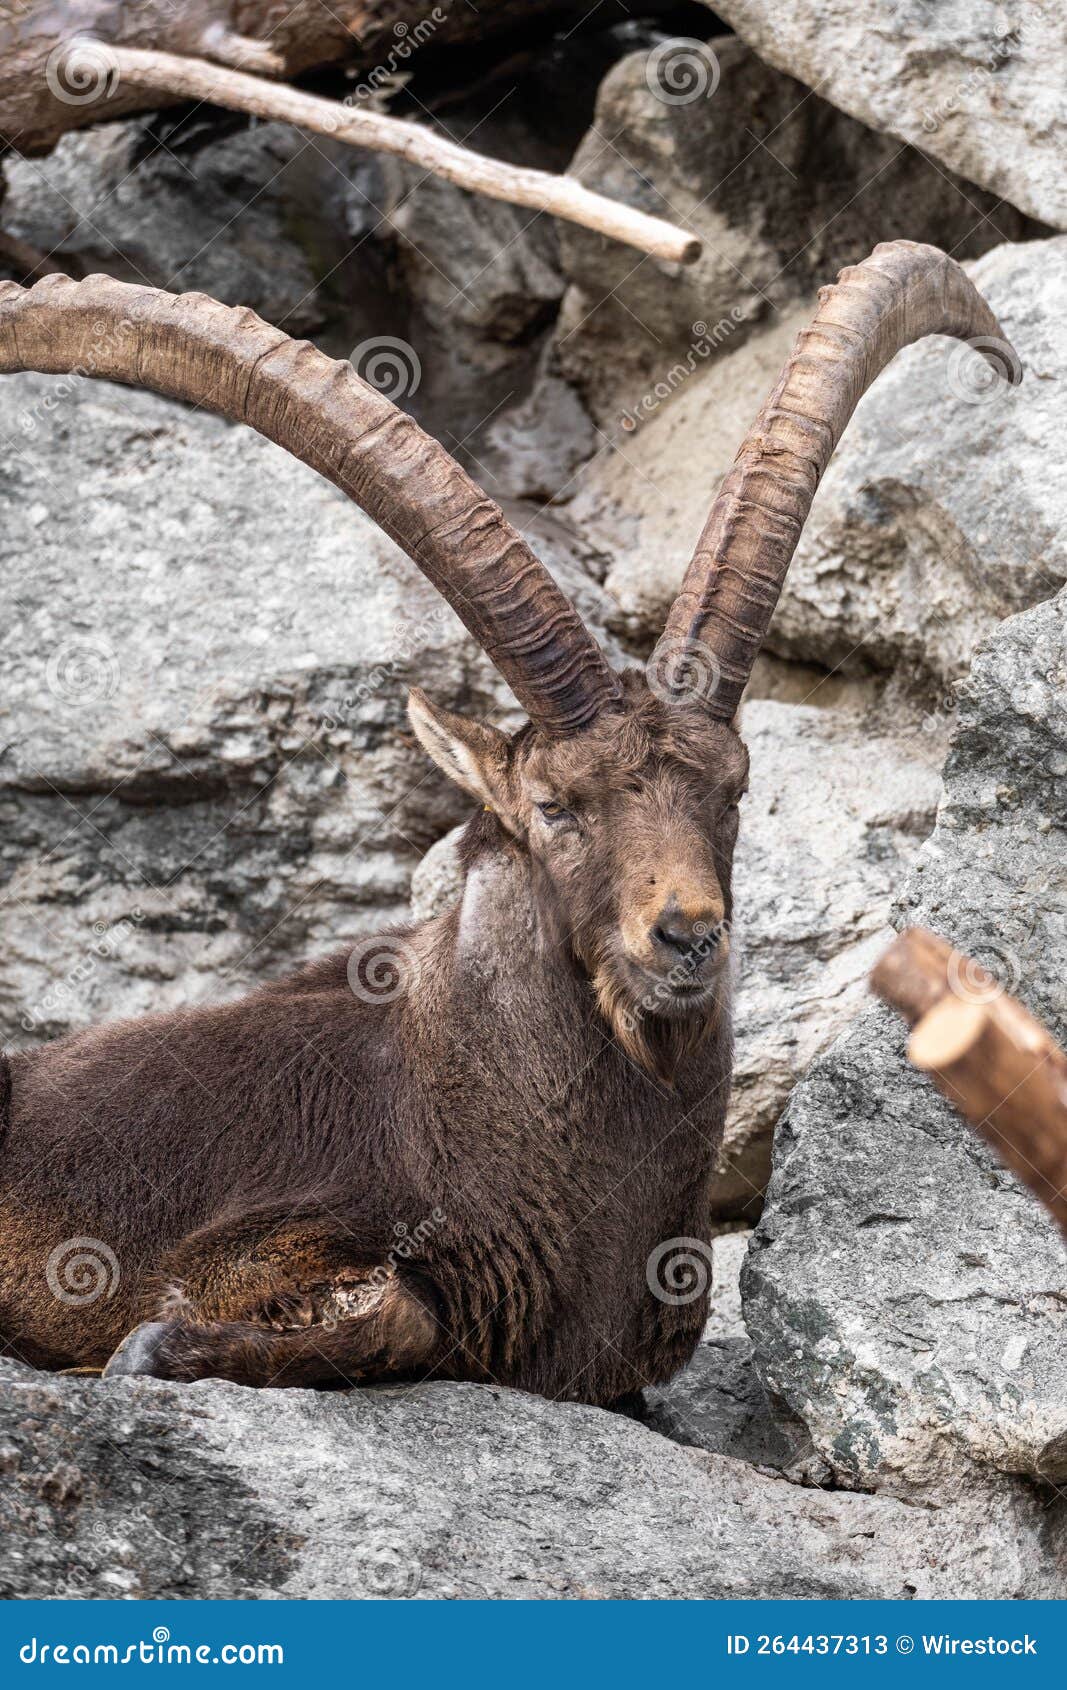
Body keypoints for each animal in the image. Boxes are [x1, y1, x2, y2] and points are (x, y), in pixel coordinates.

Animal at [0, 244, 1018, 1398]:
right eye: (553, 804)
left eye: (736, 787)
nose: (686, 936)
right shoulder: (263, 1238)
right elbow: (393, 1312)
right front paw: (150, 1345)